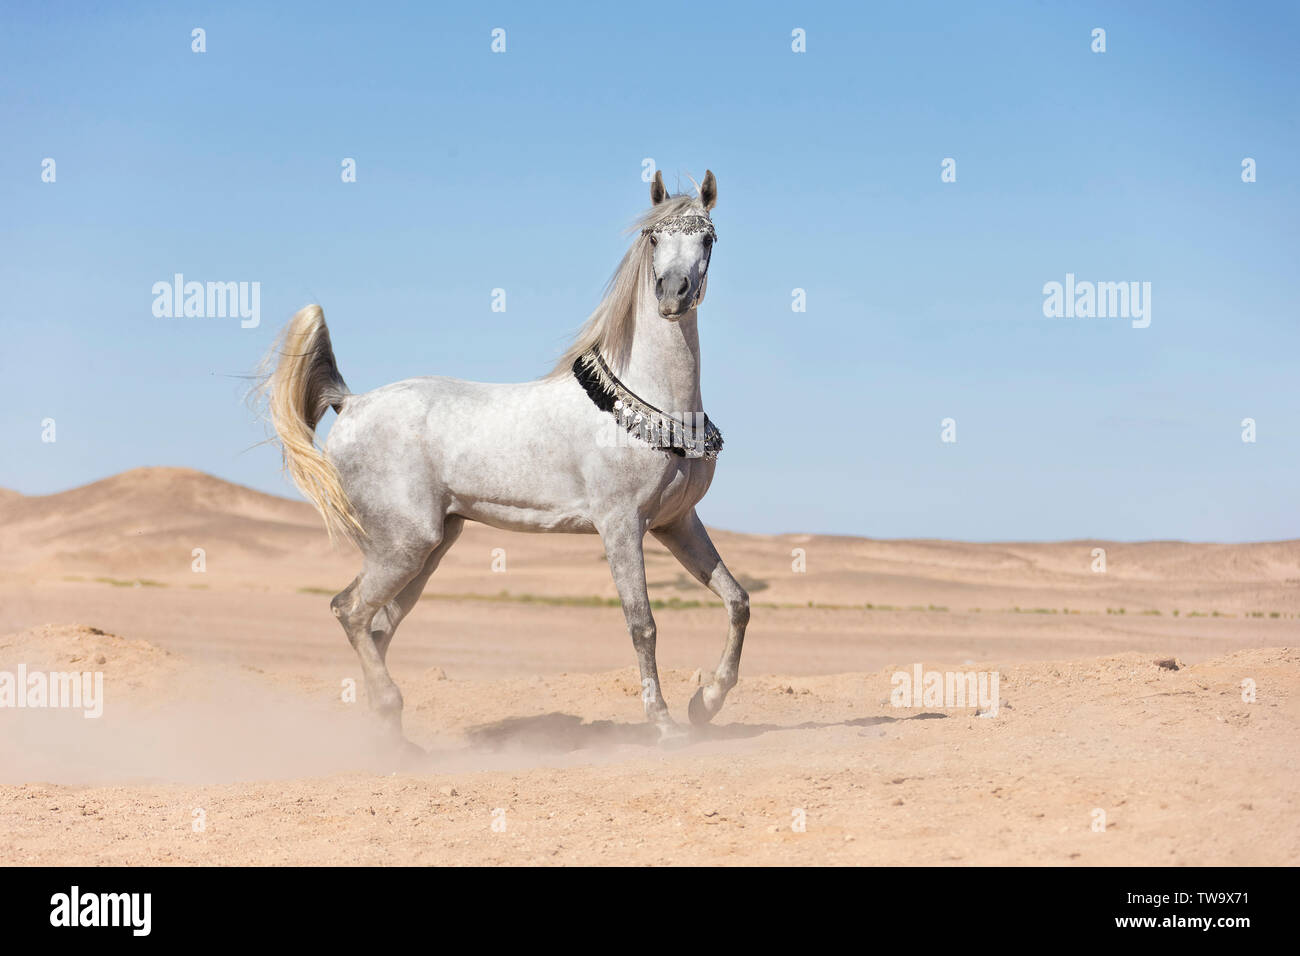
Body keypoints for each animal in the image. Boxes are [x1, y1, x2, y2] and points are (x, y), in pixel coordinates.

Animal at [255, 169, 748, 747]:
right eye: (654, 238)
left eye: (708, 238)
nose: (673, 294)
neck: (654, 404)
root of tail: (351, 403)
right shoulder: (622, 526)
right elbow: (641, 623)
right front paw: (666, 724)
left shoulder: (677, 522)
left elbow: (736, 601)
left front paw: (706, 704)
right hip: (403, 545)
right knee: (350, 611)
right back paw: (392, 728)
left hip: (431, 547)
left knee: (377, 627)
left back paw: (393, 736)